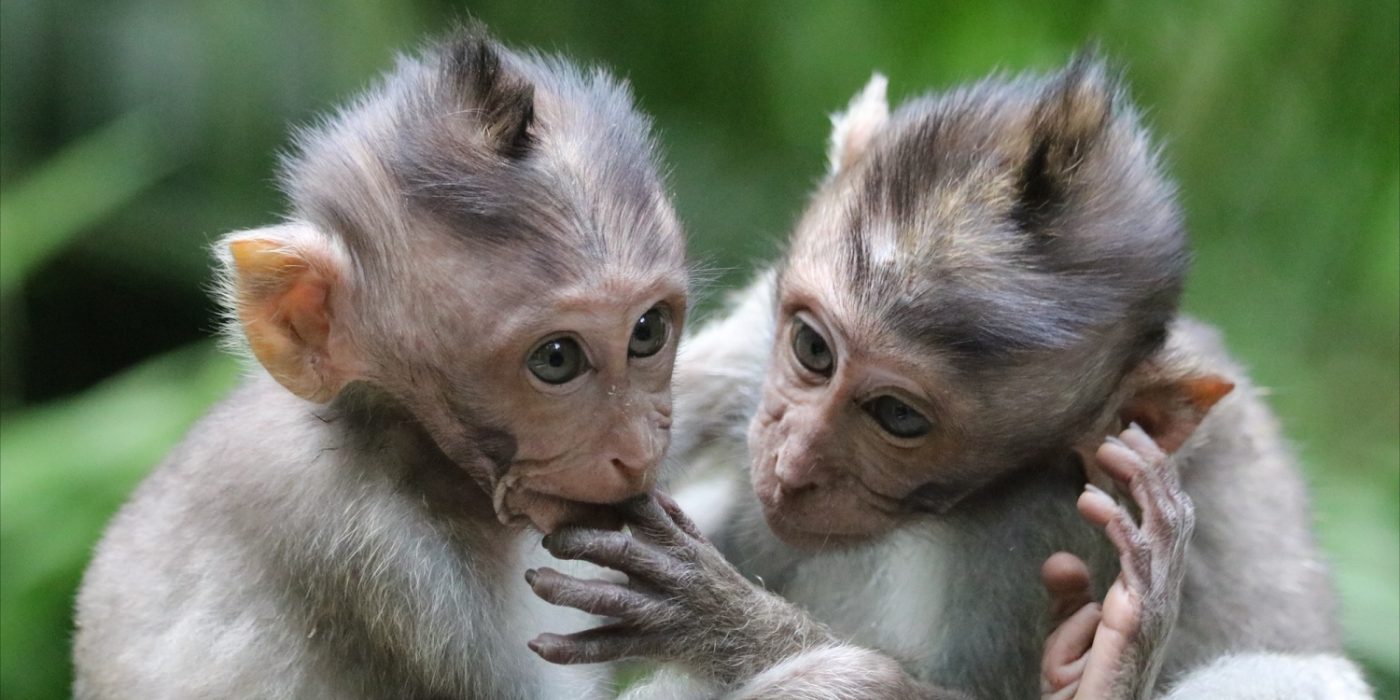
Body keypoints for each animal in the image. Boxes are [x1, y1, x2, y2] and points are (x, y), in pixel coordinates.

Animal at [71, 26, 691, 699]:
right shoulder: (378, 559)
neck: (392, 443)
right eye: (556, 359)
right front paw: (701, 613)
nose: (636, 450)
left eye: (647, 331)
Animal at [525, 59, 1374, 699]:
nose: (792, 466)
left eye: (898, 417)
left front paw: (722, 619)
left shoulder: (1048, 523)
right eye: (813, 349)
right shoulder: (750, 355)